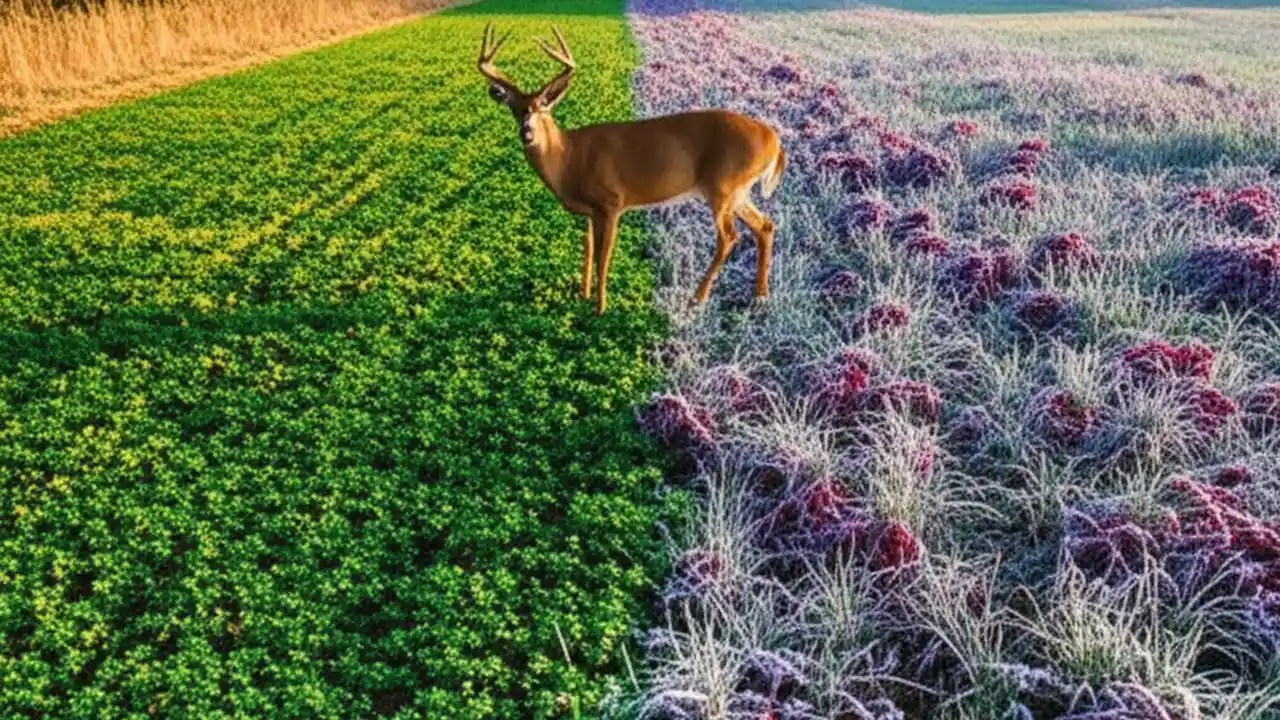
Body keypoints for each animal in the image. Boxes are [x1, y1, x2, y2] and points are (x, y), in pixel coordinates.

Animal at [477, 23, 785, 315]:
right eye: (514, 108)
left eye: (543, 106)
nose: (527, 132)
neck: (569, 158)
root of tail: (773, 140)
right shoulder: (591, 212)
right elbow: (588, 251)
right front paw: (583, 297)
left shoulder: (612, 201)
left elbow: (603, 257)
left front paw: (600, 309)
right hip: (739, 192)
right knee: (765, 225)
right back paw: (760, 296)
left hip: (724, 187)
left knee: (728, 237)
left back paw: (697, 299)